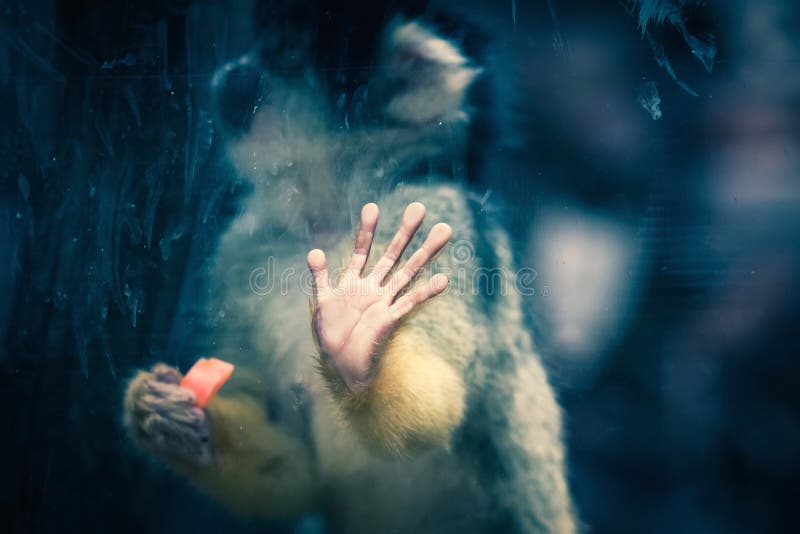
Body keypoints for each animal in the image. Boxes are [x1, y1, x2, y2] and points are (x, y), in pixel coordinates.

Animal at [123, 20, 577, 533]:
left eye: (278, 52)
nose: (233, 73)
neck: (336, 215)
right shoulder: (238, 252)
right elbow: (295, 479)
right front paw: (170, 423)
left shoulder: (440, 214)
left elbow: (434, 413)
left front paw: (356, 346)